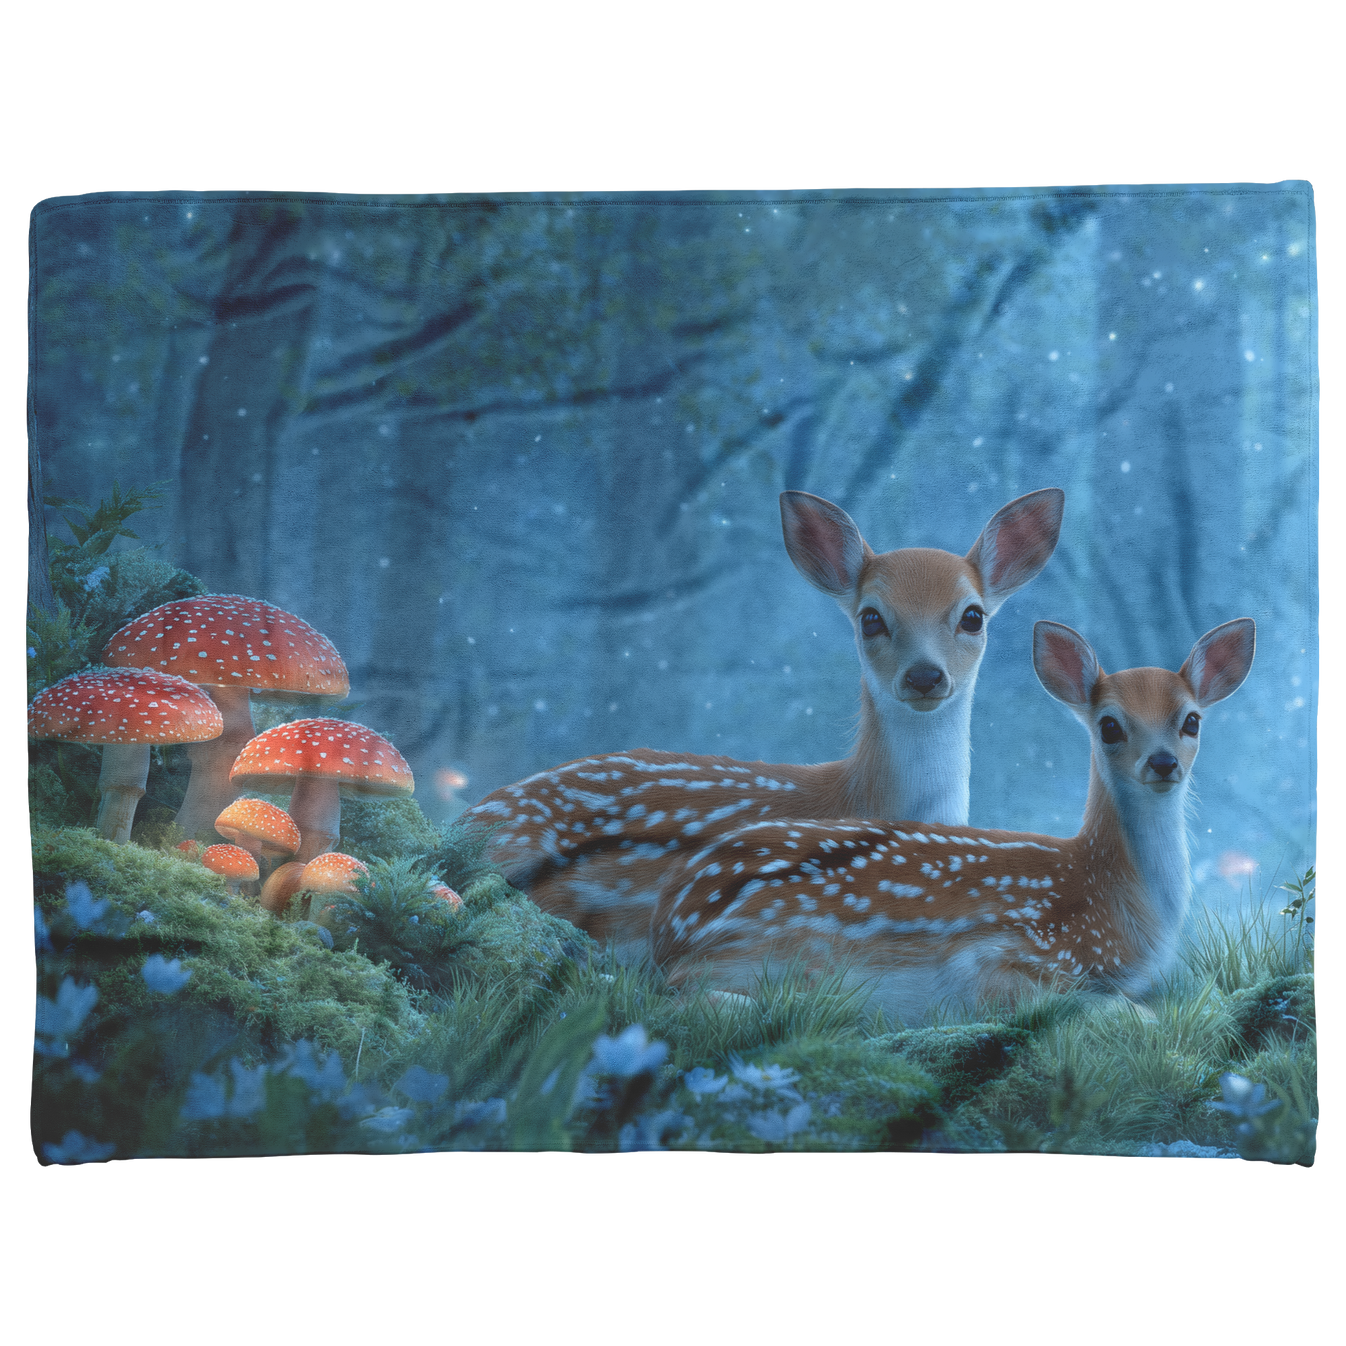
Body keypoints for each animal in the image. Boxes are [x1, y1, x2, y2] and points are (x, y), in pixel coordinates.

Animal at [650, 618, 1257, 1025]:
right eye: (1109, 725)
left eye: (1191, 720)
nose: (1163, 762)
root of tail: (667, 929)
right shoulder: (1008, 955)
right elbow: (1109, 1010)